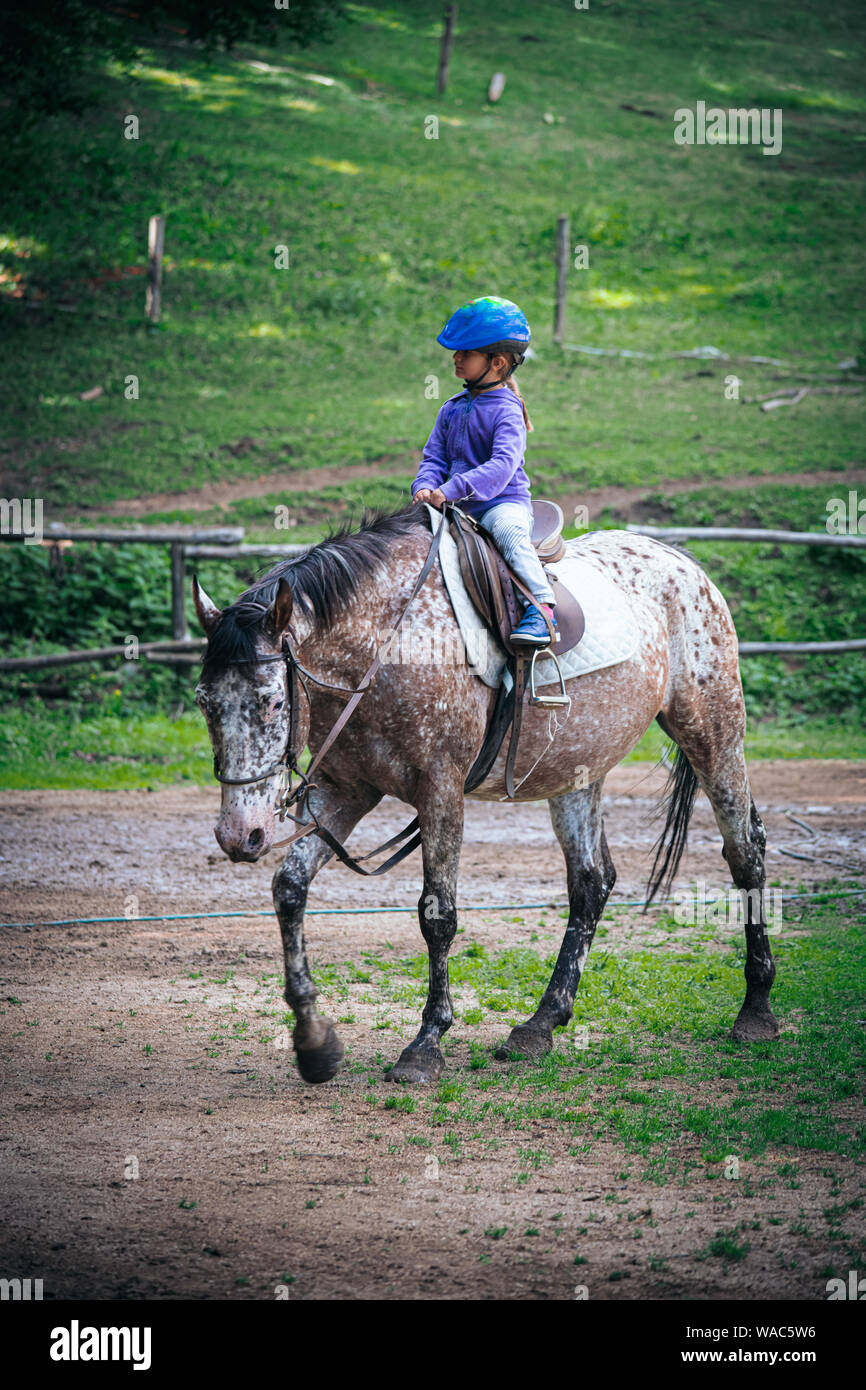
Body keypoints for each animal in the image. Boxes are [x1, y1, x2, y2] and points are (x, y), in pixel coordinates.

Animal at [192, 505, 779, 1086]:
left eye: (272, 701)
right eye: (204, 702)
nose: (239, 835)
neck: (389, 643)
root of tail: (679, 560)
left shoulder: (440, 789)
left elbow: (437, 916)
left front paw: (425, 1045)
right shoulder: (346, 791)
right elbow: (289, 889)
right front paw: (314, 1043)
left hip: (714, 731)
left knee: (745, 852)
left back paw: (756, 1011)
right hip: (577, 767)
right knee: (591, 882)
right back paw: (541, 1025)